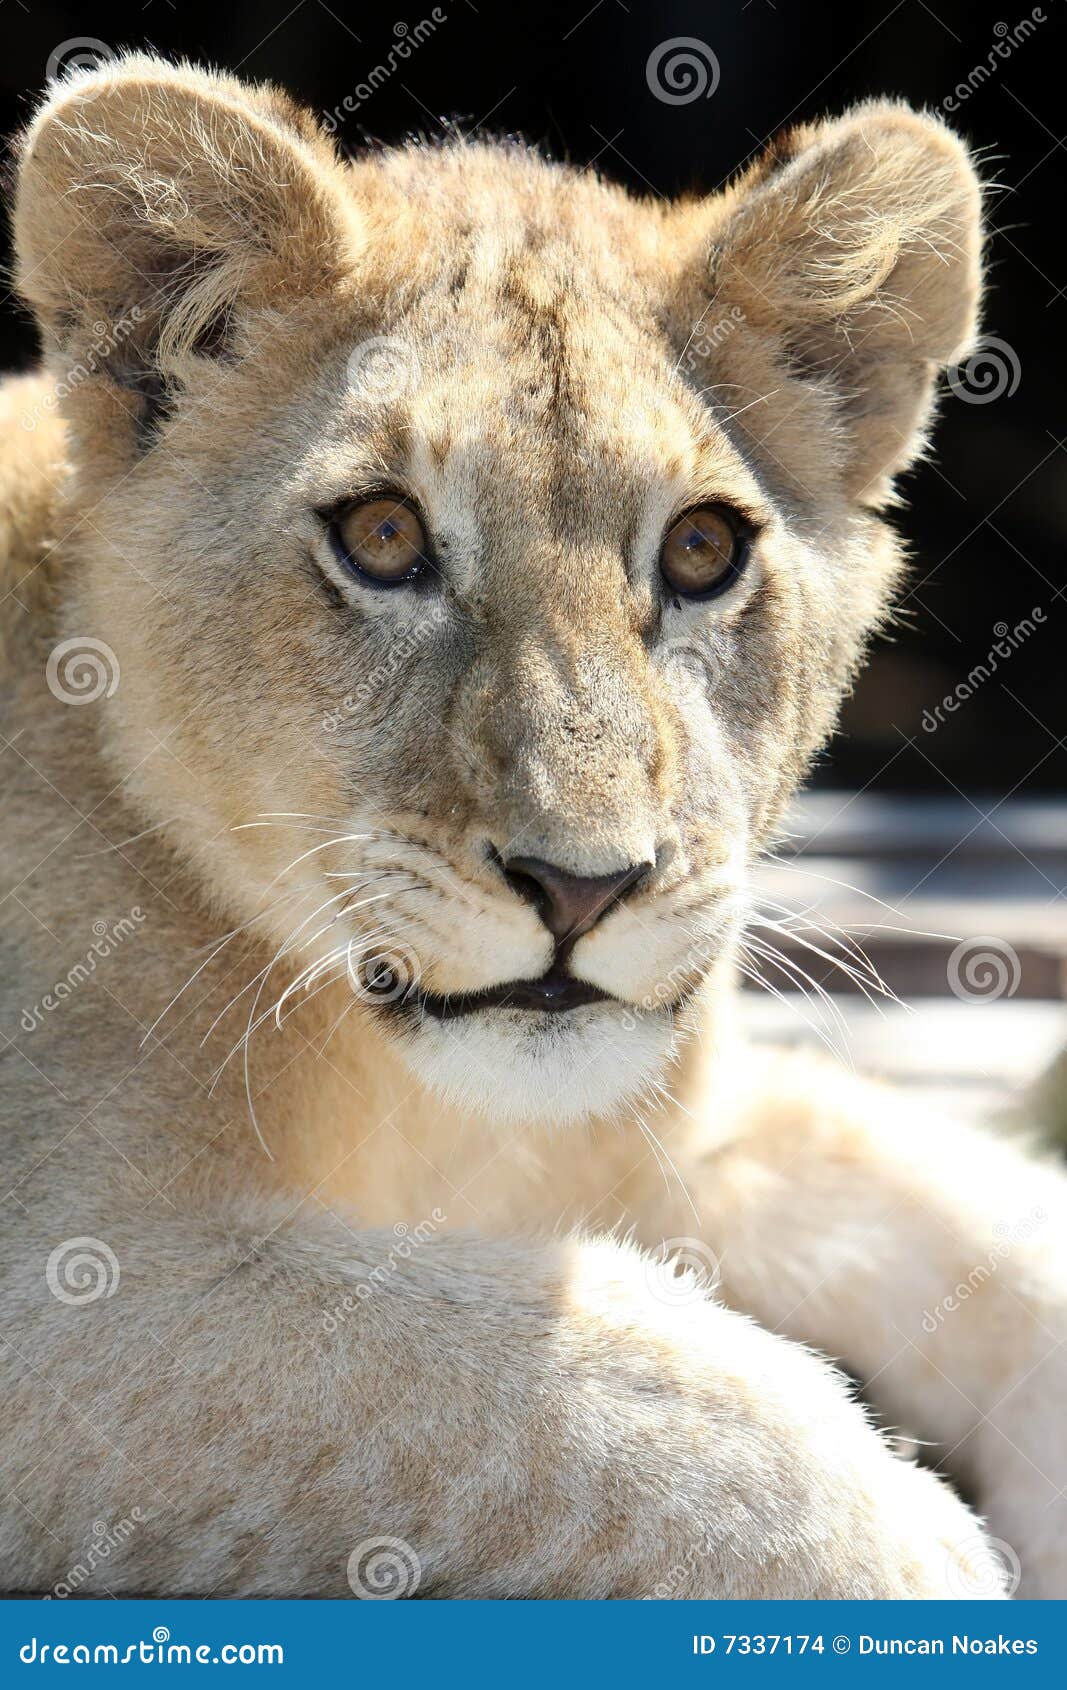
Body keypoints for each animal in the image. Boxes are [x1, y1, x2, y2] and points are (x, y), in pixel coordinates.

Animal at [1, 56, 1064, 1600]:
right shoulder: (65, 1283)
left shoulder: (678, 1127)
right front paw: (927, 1563)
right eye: (382, 536)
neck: (426, 1110)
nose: (582, 887)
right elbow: (658, 1407)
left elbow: (986, 1224)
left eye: (700, 550)